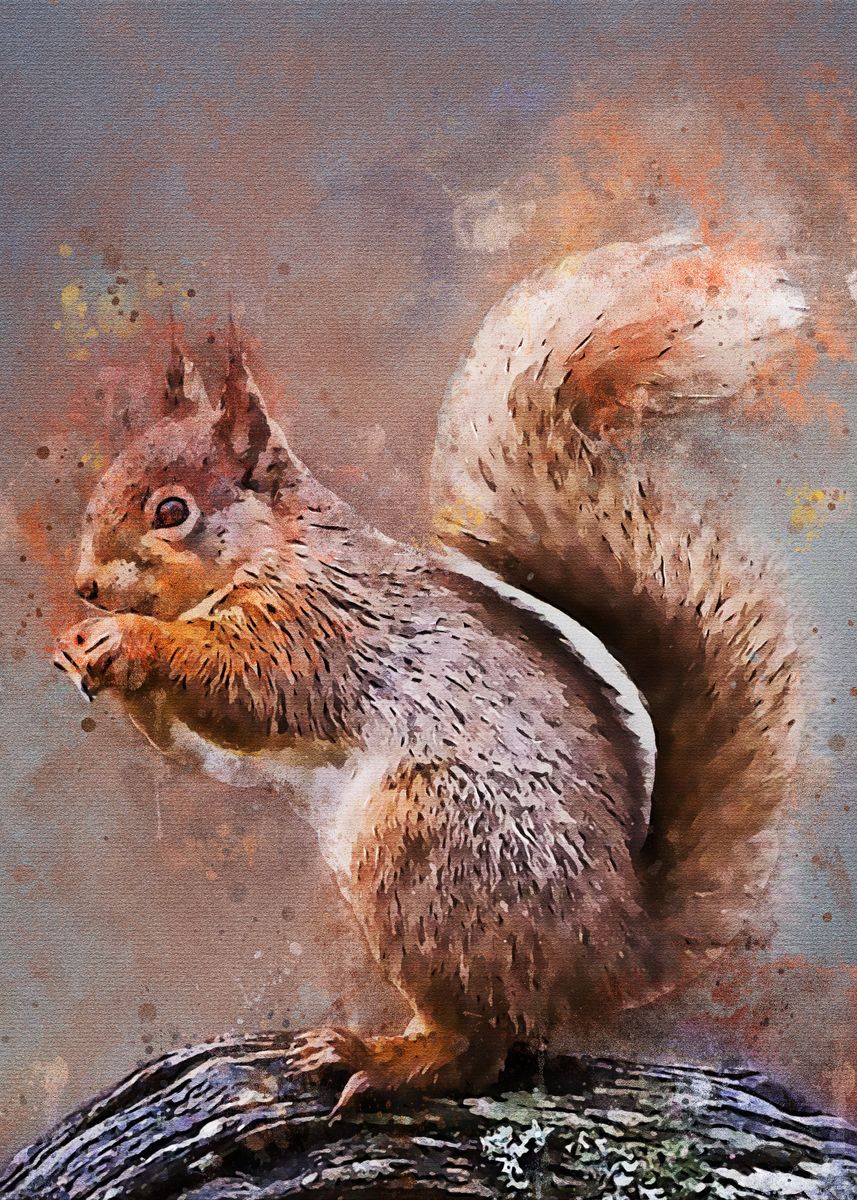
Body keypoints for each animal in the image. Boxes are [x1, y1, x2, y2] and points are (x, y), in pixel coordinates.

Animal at [54, 233, 806, 1111]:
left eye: (173, 511)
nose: (86, 586)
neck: (278, 551)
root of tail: (620, 949)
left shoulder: (318, 630)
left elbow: (247, 686)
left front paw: (130, 638)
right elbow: (204, 750)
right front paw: (81, 647)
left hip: (425, 851)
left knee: (481, 1047)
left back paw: (381, 1059)